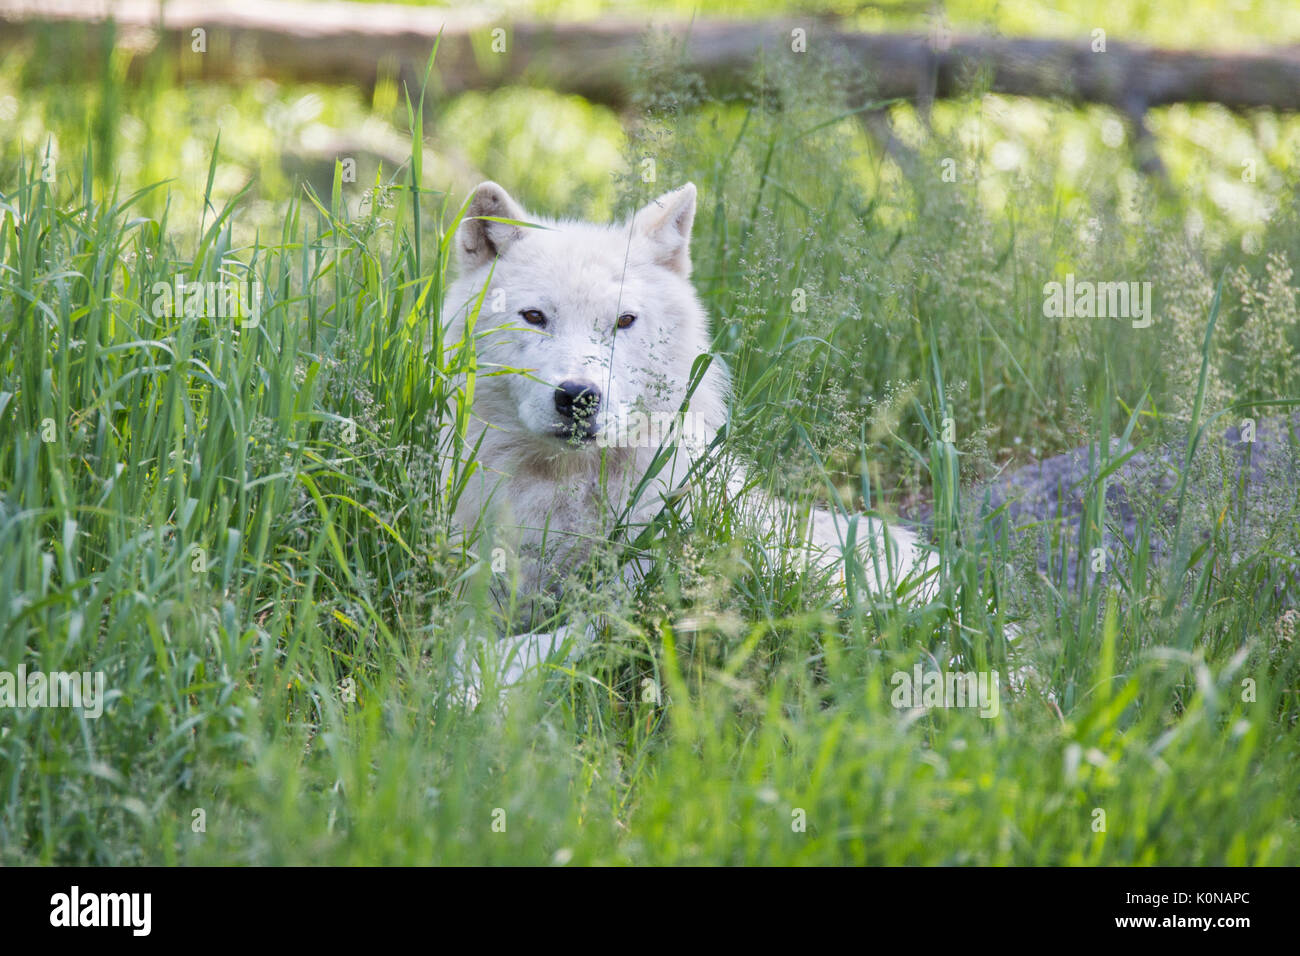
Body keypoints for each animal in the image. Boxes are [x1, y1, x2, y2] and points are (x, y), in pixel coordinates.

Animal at [441, 181, 934, 696]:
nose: (578, 396)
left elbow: (542, 647)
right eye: (534, 316)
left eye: (624, 321)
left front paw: (473, 688)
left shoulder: (636, 602)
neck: (566, 488)